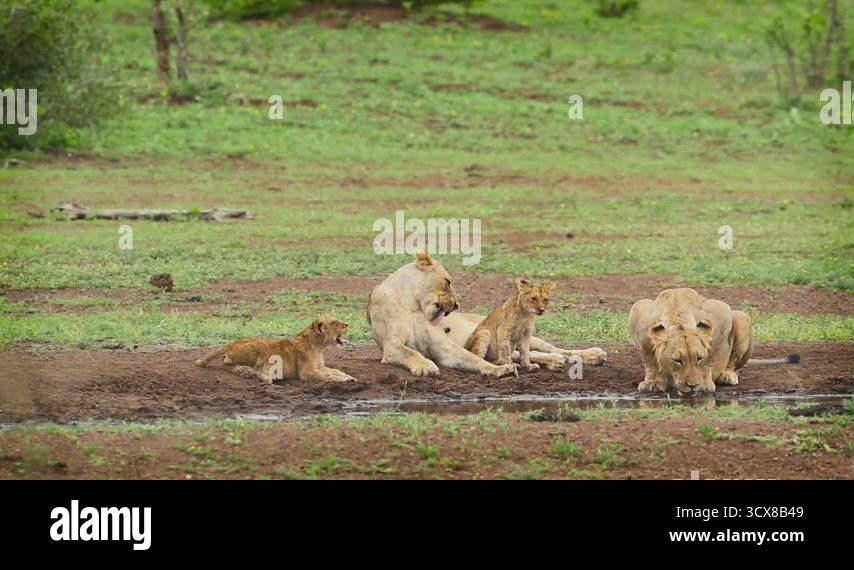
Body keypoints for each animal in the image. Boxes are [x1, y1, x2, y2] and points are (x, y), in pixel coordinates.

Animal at [196, 315, 356, 384]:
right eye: (334, 322)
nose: (348, 324)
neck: (319, 346)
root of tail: (230, 344)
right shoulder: (305, 372)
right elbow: (327, 375)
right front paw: (346, 380)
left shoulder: (319, 366)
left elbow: (335, 370)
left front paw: (349, 376)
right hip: (260, 346)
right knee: (226, 362)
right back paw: (252, 373)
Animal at [367, 254, 607, 377]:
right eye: (448, 281)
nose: (456, 304)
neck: (413, 304)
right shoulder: (391, 346)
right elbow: (411, 353)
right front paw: (425, 366)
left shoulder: (444, 347)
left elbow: (471, 359)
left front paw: (499, 370)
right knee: (524, 353)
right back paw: (552, 361)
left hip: (530, 336)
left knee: (559, 349)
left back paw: (592, 355)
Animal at [628, 288, 799, 395]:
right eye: (677, 360)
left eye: (699, 358)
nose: (692, 386)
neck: (677, 317)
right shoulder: (637, 313)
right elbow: (649, 358)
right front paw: (653, 383)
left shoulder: (722, 311)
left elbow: (711, 354)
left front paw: (704, 383)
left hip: (742, 317)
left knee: (732, 362)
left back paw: (727, 375)